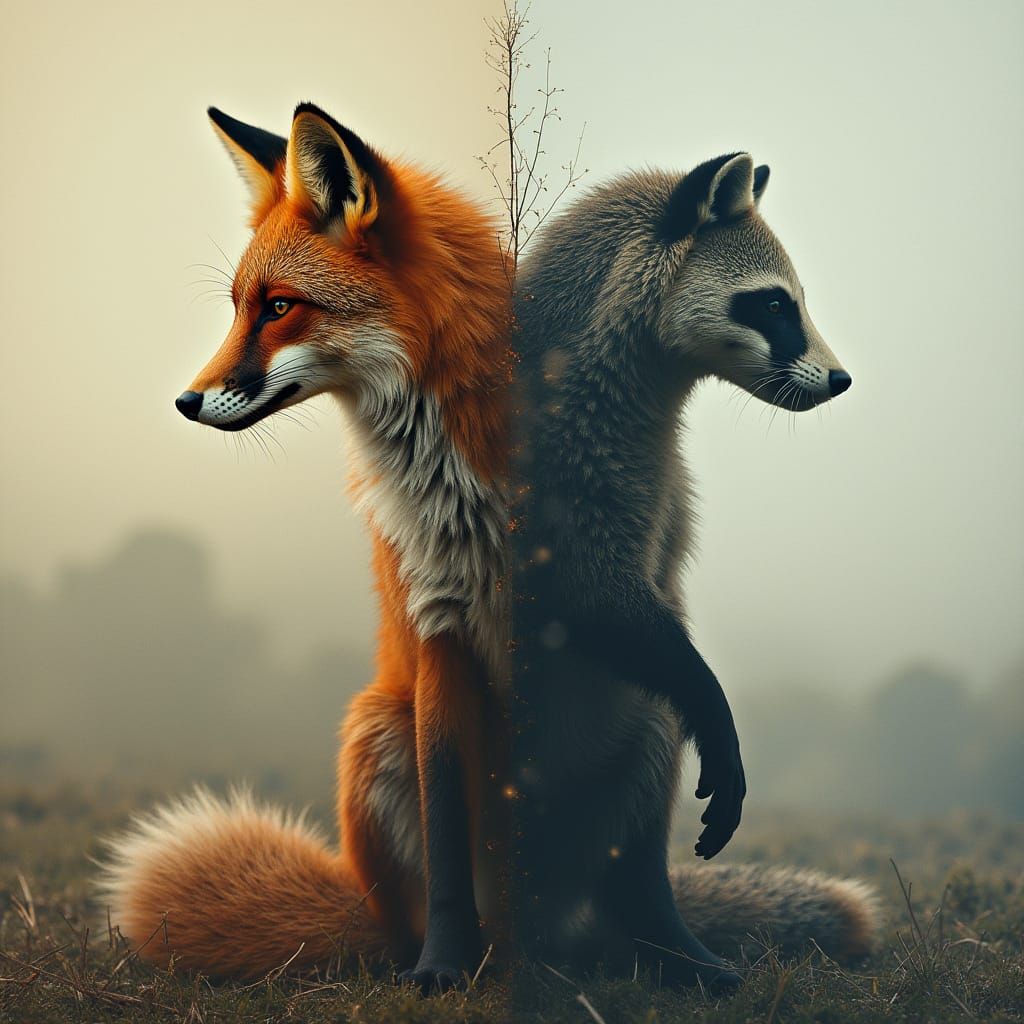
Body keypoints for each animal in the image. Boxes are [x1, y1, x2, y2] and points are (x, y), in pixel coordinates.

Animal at [509, 153, 876, 988]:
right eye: (773, 304)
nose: (841, 381)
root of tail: (551, 907)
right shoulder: (561, 478)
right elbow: (589, 596)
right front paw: (715, 706)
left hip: (621, 750)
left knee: (643, 781)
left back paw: (665, 938)